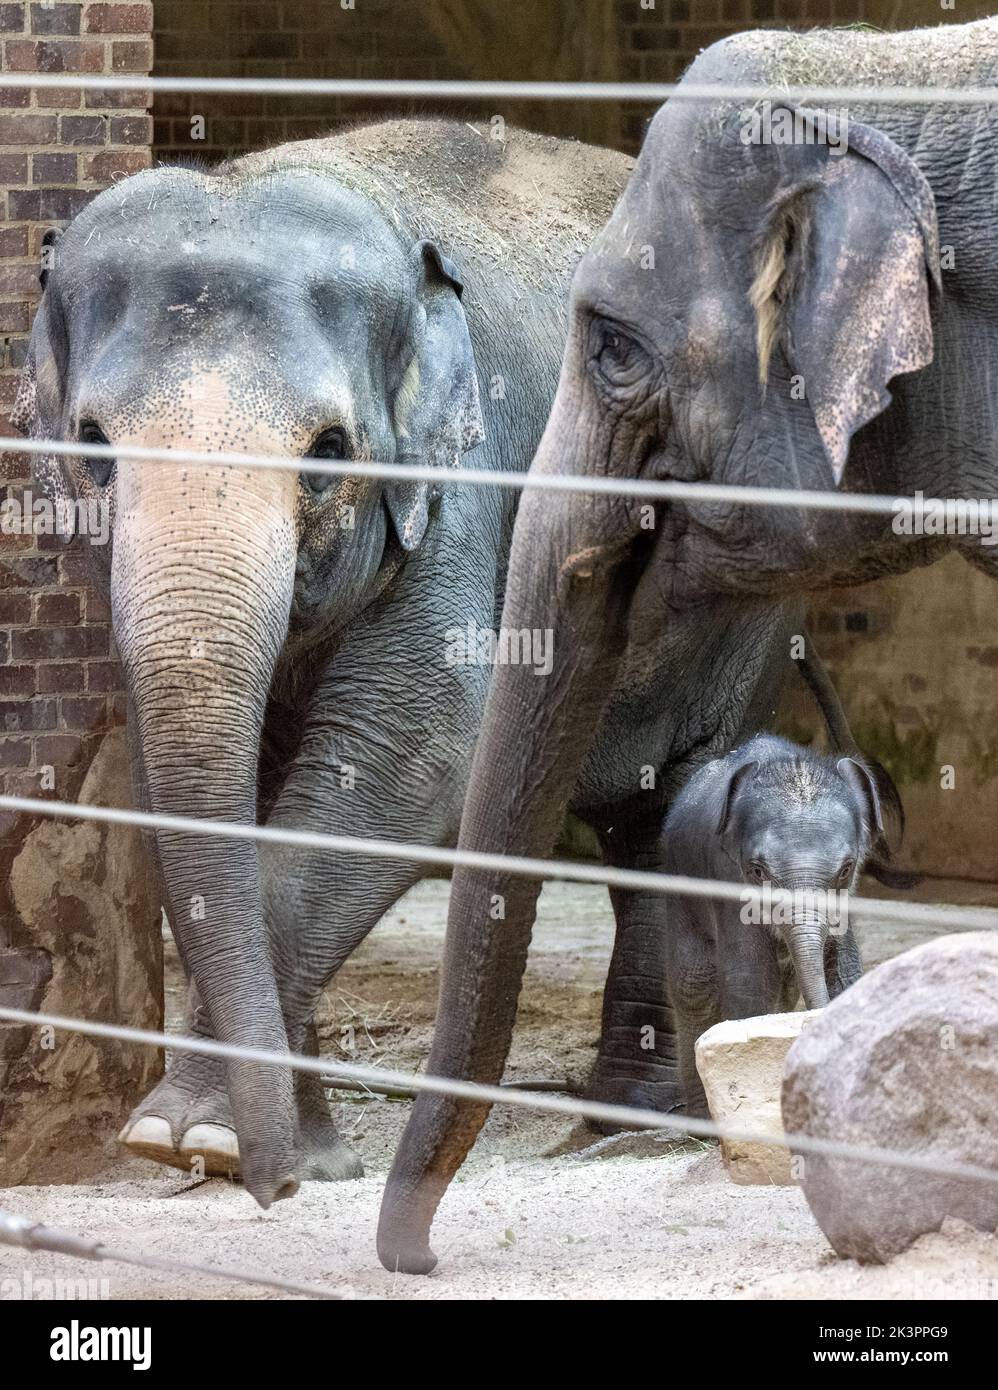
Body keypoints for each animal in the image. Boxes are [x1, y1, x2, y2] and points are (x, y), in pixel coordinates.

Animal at [11, 118, 633, 1208]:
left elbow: (409, 753)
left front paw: (192, 1137)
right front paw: (275, 1153)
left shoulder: (459, 492)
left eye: (330, 450)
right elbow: (181, 791)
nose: (272, 1192)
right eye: (91, 445)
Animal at [660, 734, 895, 1115]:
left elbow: (844, 966)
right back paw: (699, 1115)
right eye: (757, 871)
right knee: (694, 984)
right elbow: (751, 976)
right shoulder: (725, 874)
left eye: (846, 869)